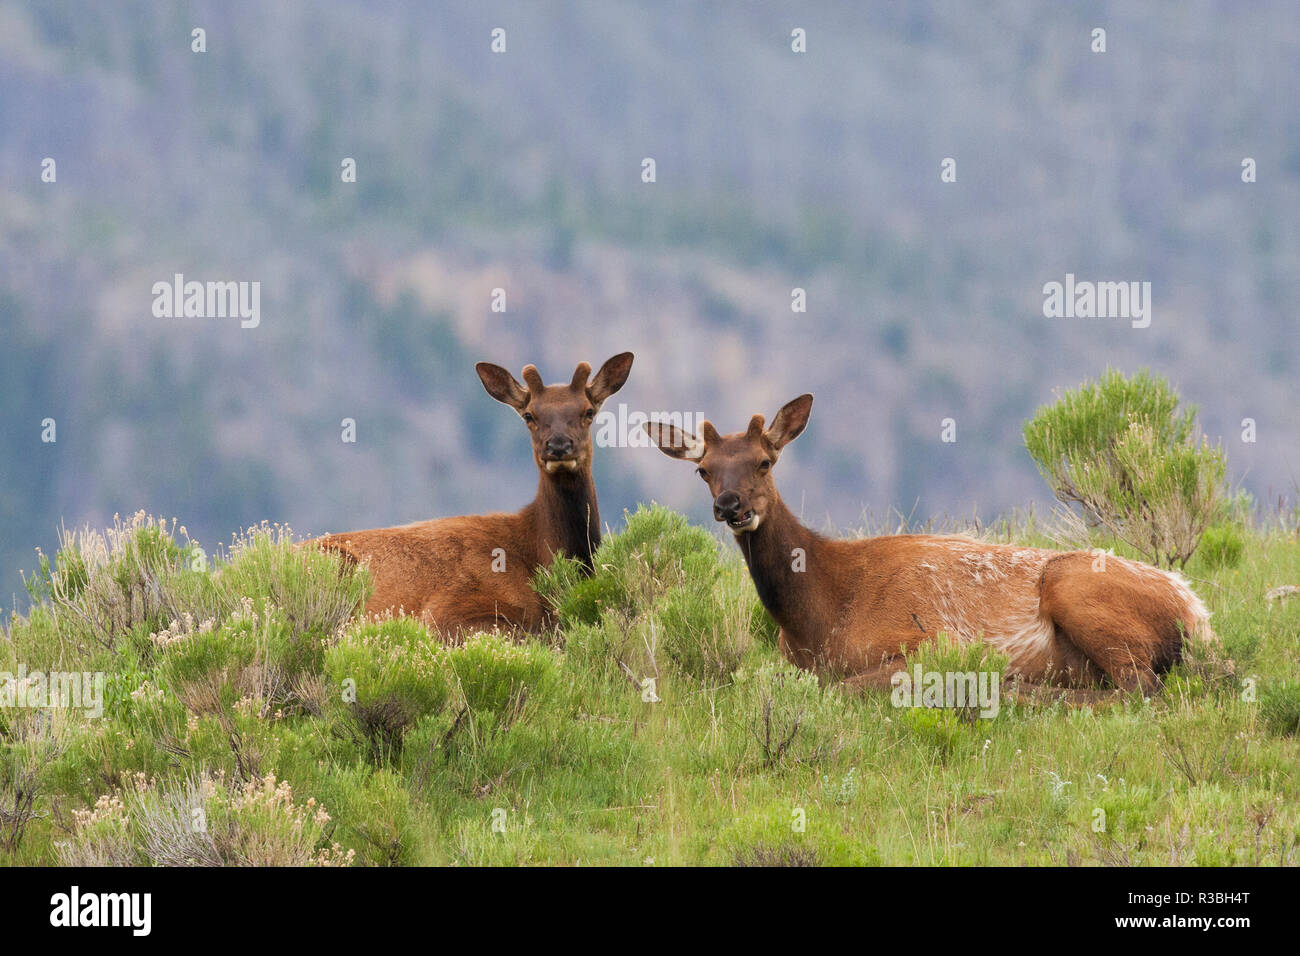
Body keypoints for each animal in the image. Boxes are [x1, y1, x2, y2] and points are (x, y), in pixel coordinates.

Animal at [644, 393, 1216, 701]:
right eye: (703, 471)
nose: (731, 505)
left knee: (1138, 690)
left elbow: (844, 687)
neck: (818, 619)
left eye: (765, 461)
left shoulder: (932, 640)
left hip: (1074, 589)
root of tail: (1199, 616)